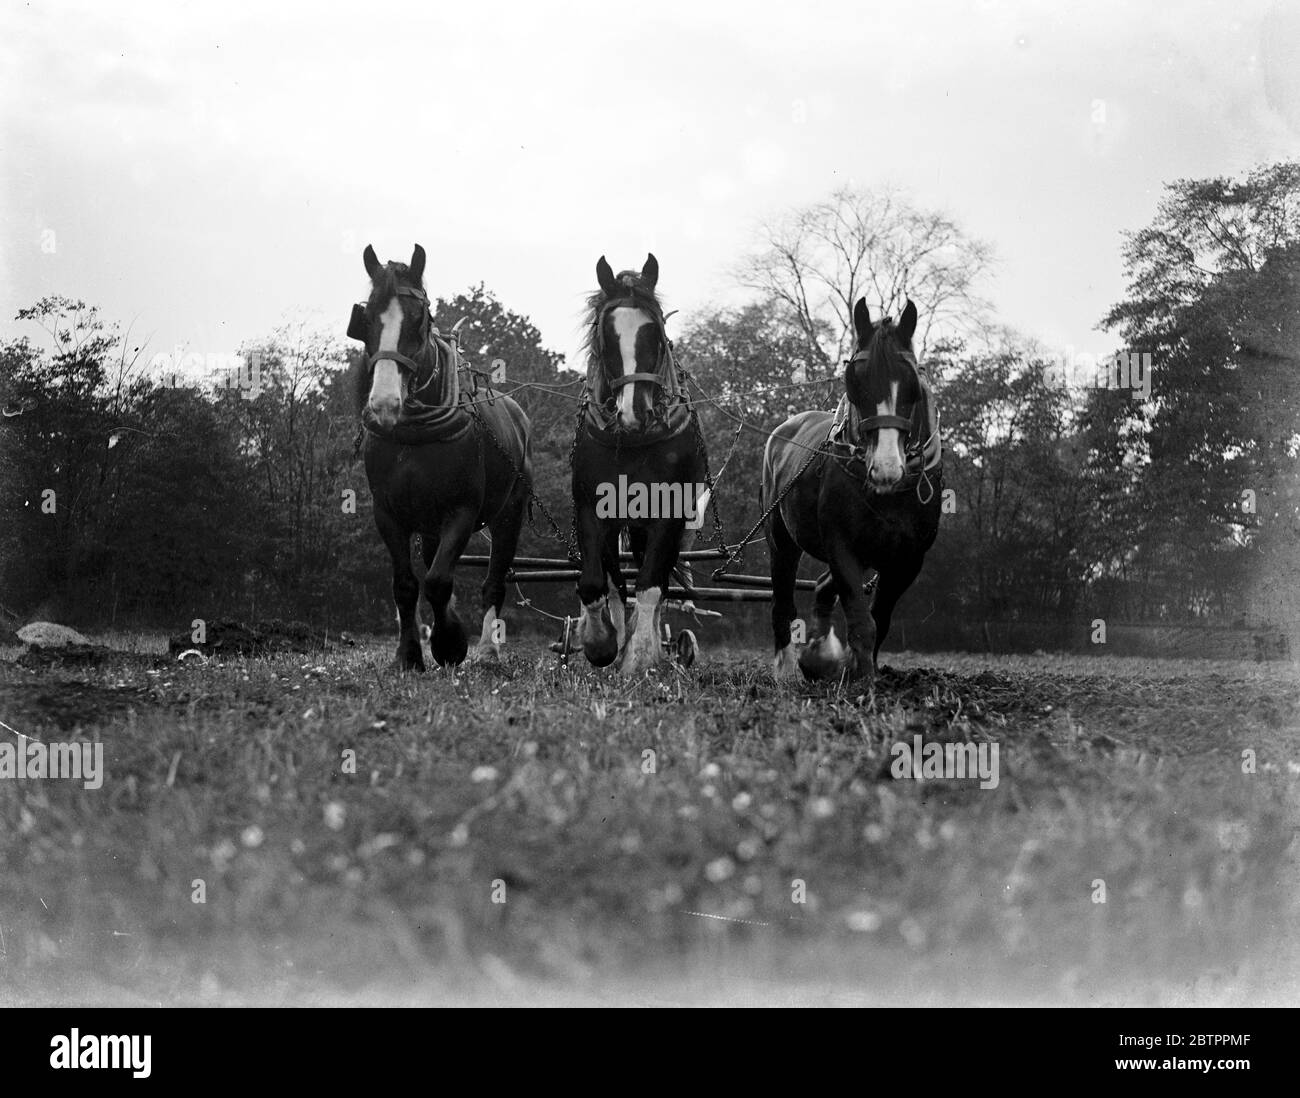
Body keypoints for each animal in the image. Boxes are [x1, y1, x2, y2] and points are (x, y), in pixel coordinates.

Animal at [349, 243, 532, 671]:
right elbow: (405, 585)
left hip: (509, 513)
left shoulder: (462, 510)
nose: (384, 404)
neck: (415, 436)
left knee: (493, 581)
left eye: (419, 319)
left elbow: (437, 580)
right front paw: (409, 654)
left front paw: (451, 643)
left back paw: (488, 650)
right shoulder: (388, 513)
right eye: (367, 317)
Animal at [570, 254, 708, 675]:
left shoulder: (668, 514)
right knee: (616, 582)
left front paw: (642, 655)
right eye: (606, 335)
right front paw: (601, 645)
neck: (632, 442)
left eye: (656, 332)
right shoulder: (591, 508)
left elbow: (650, 584)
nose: (634, 412)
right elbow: (597, 583)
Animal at [763, 297, 942, 682]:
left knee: (821, 587)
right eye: (855, 380)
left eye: (911, 382)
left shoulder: (908, 559)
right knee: (782, 599)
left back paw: (819, 653)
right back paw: (786, 670)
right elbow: (862, 621)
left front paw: (856, 669)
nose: (887, 467)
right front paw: (863, 682)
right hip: (780, 538)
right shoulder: (842, 546)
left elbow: (880, 620)